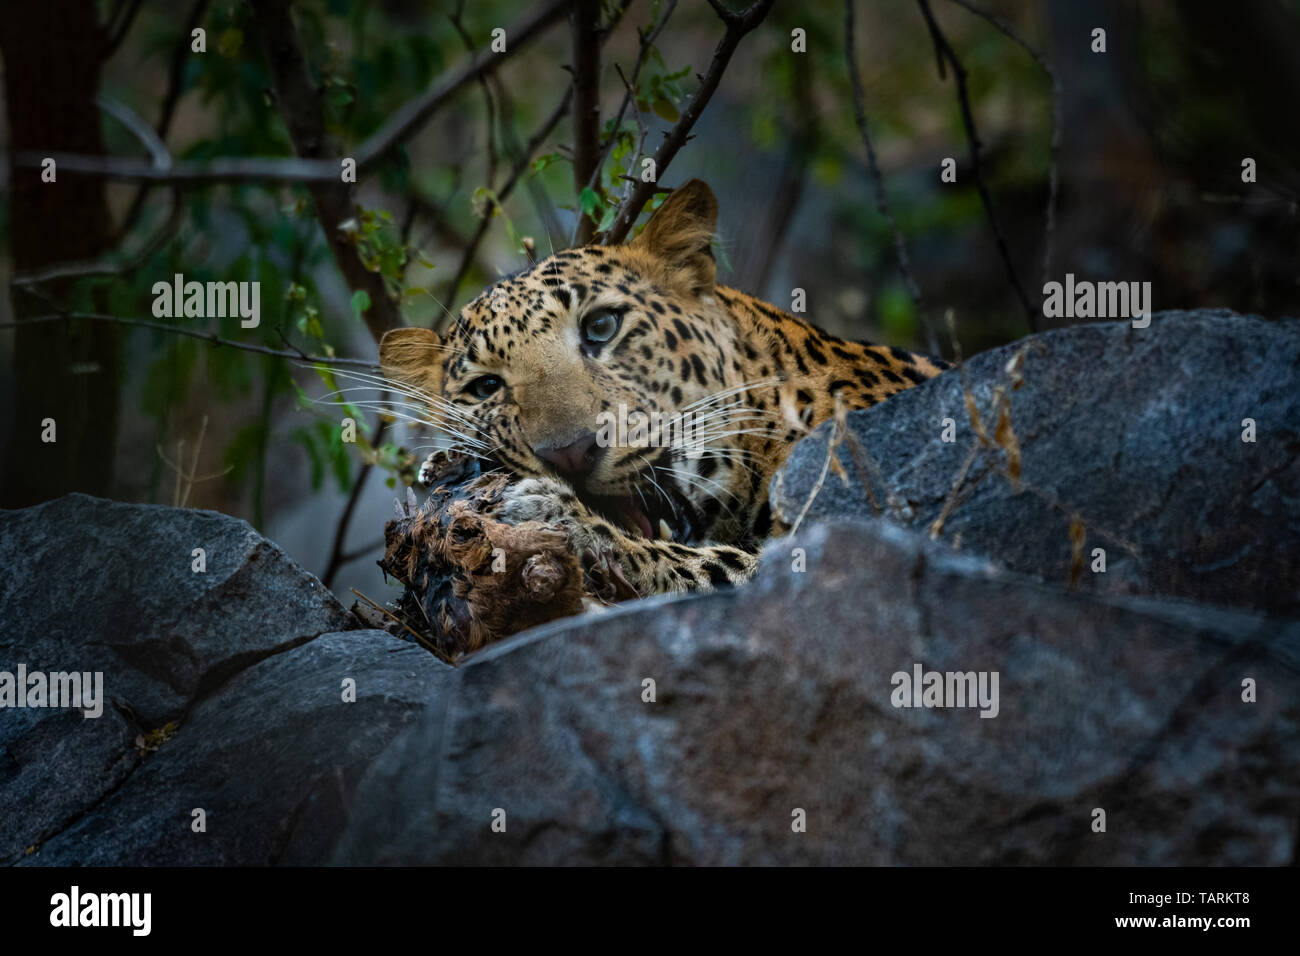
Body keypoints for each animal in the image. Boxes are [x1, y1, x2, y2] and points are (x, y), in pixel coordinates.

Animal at [379, 179, 949, 599]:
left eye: (601, 327)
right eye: (487, 387)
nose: (568, 454)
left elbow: (715, 564)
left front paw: (558, 516)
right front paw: (448, 463)